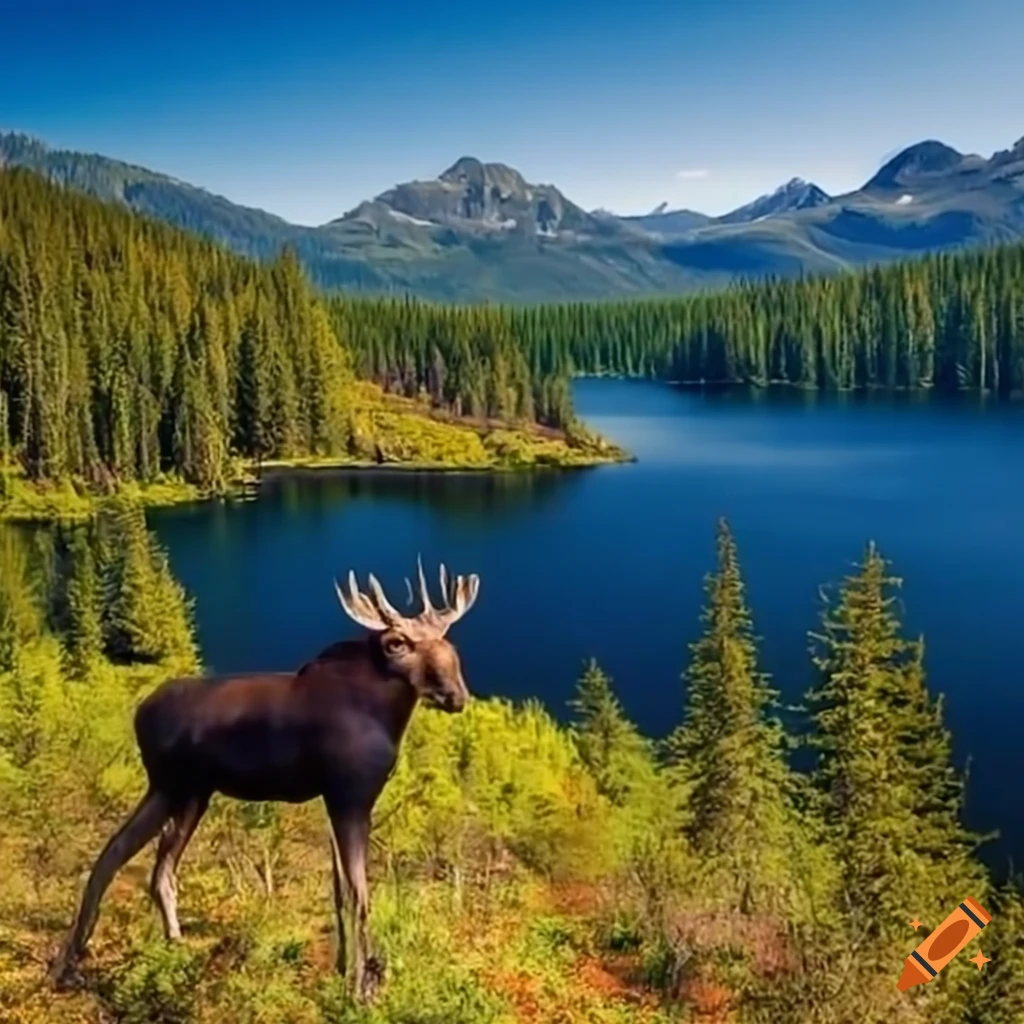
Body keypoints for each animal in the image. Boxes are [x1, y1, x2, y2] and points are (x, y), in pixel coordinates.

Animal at [48, 560, 480, 1001]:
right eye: (397, 643)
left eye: (445, 640)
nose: (455, 694)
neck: (384, 717)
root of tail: (138, 713)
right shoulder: (350, 795)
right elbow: (359, 895)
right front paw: (362, 987)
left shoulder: (334, 799)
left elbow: (339, 891)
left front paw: (344, 971)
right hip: (174, 787)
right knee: (128, 858)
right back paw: (79, 960)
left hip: (185, 792)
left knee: (135, 861)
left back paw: (130, 951)